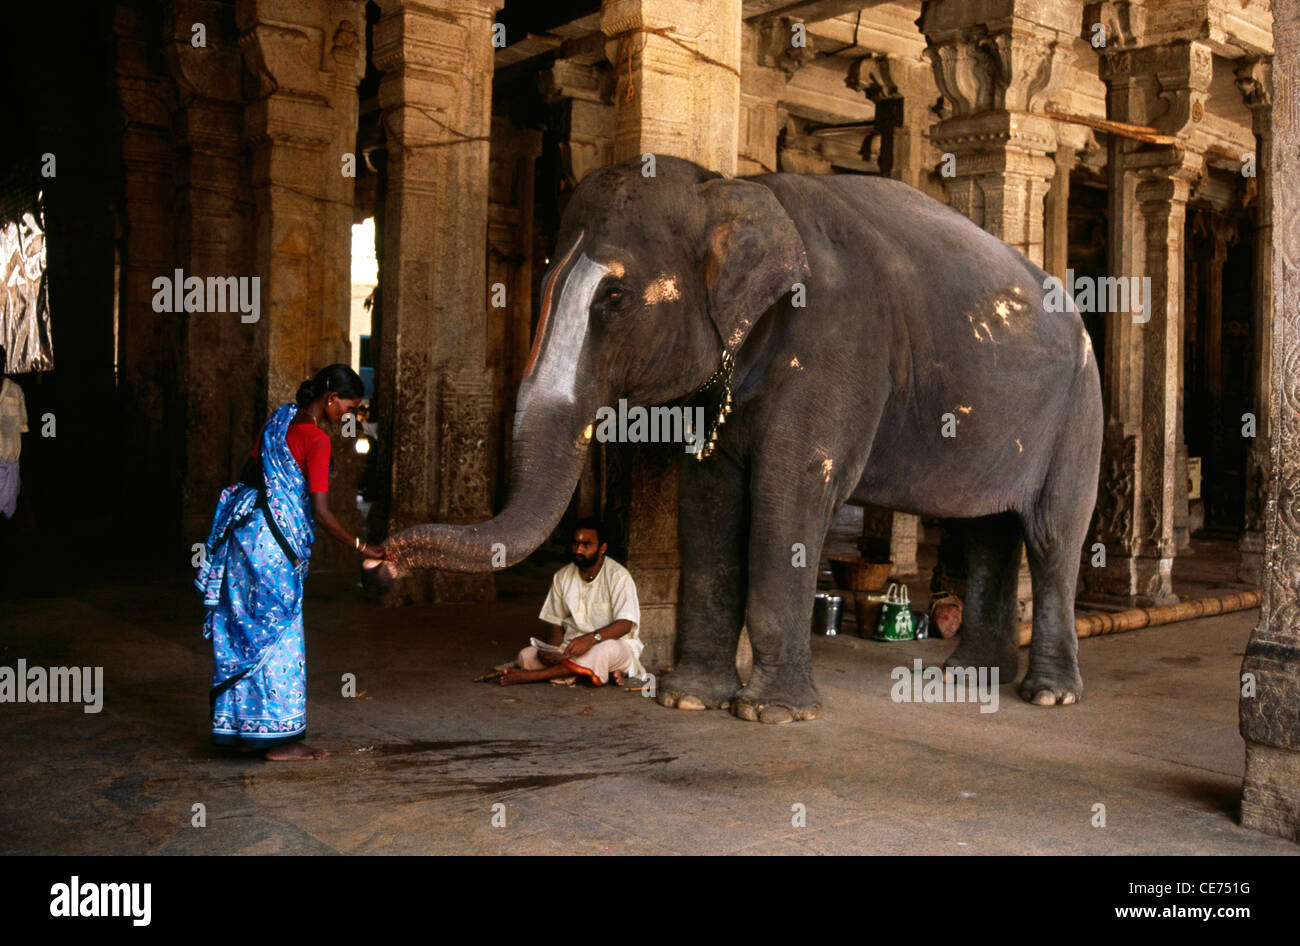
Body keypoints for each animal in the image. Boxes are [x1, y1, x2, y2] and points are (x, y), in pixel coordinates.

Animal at [375, 154, 1103, 724]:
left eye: (615, 297)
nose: (381, 555)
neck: (732, 187)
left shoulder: (839, 348)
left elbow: (791, 497)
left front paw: (772, 714)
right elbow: (708, 500)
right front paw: (690, 699)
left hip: (1081, 404)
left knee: (1050, 535)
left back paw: (1049, 695)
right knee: (984, 530)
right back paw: (965, 677)